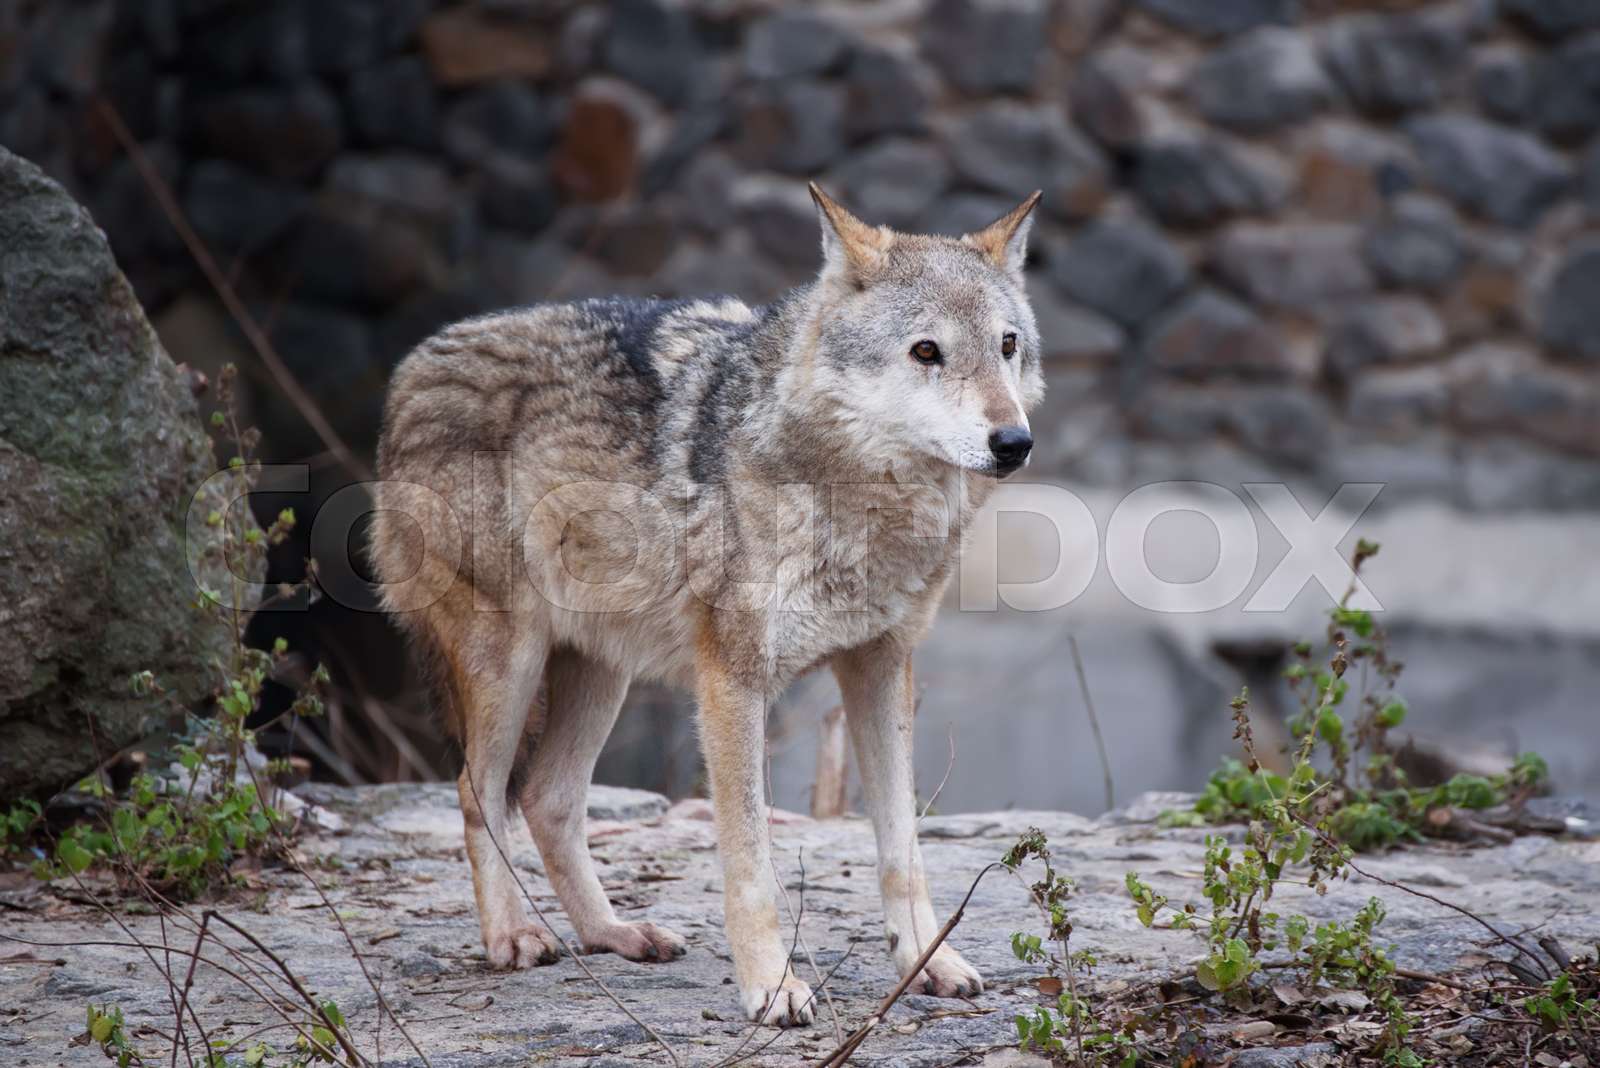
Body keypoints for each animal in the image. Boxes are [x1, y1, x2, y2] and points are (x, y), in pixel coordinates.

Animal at [368, 185, 1045, 1026]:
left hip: (601, 670)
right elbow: (750, 859)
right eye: (927, 352)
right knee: (479, 791)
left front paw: (929, 963)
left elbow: (902, 847)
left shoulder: (882, 667)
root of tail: (414, 363)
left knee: (548, 798)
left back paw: (614, 934)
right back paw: (513, 936)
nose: (1014, 441)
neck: (855, 502)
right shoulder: (733, 680)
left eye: (1007, 346)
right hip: (509, 664)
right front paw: (772, 987)